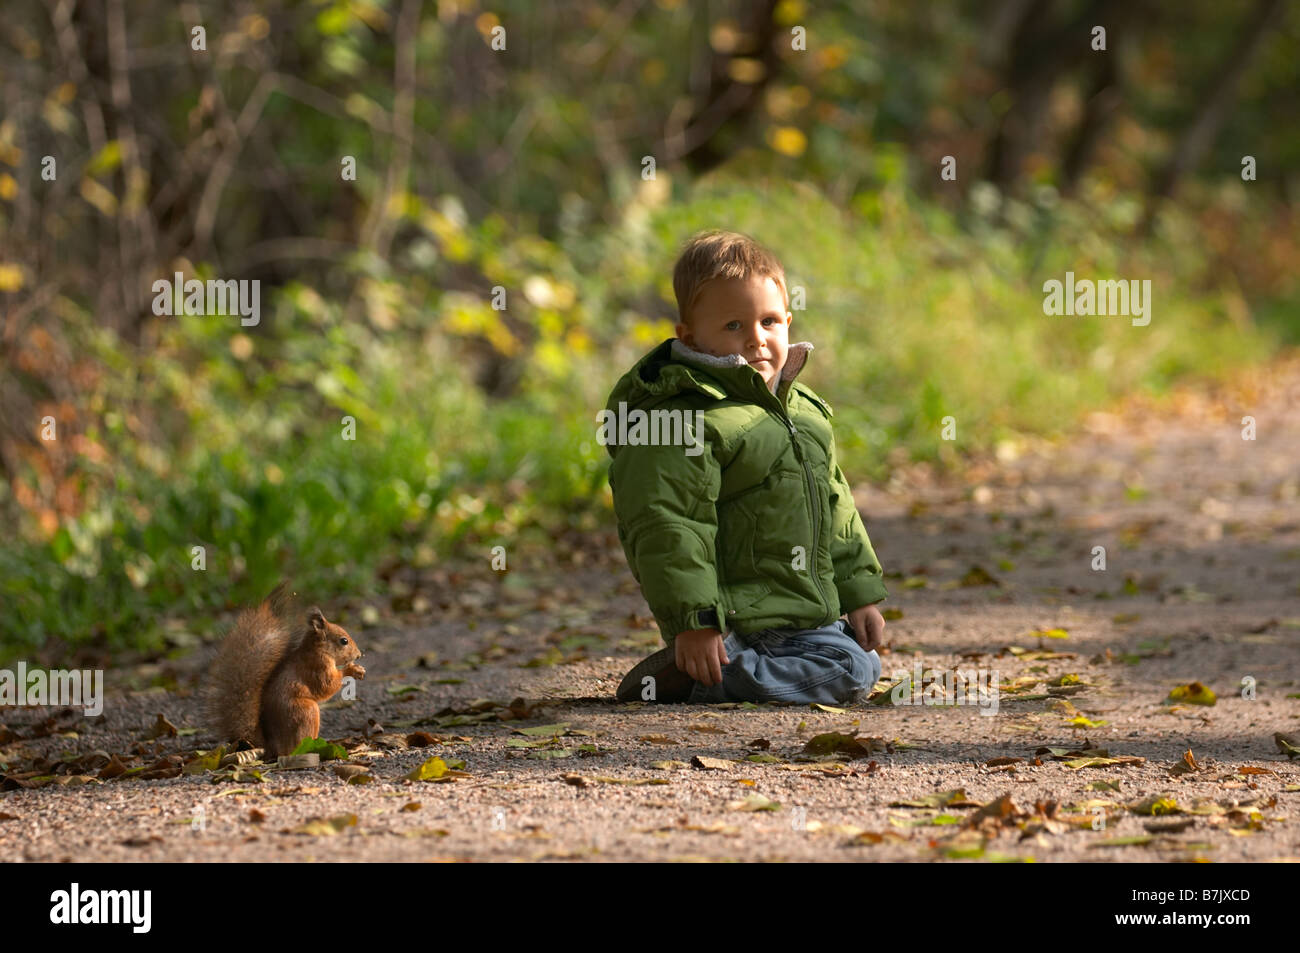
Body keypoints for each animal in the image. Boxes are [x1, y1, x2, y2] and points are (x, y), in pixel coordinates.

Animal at [204, 583, 365, 759]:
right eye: (344, 641)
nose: (358, 655)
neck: (318, 649)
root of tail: (271, 746)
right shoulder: (317, 666)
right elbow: (326, 686)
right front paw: (351, 670)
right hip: (306, 712)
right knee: (294, 749)